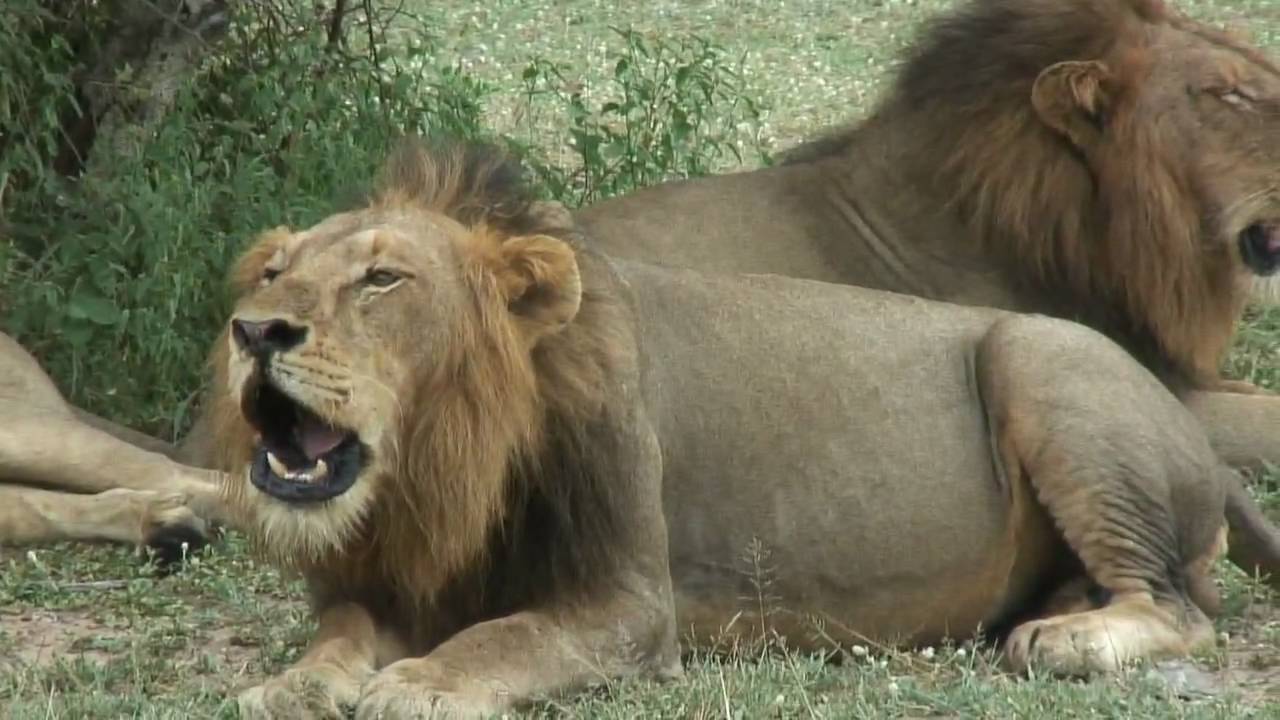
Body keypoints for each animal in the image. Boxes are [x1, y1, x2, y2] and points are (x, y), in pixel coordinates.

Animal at [212, 138, 1275, 719]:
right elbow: (339, 635)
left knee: (1183, 607)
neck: (443, 469)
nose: (255, 332)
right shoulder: (381, 578)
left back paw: (1068, 640)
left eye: (382, 279)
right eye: (275, 273)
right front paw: (294, 685)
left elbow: (505, 636)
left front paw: (423, 681)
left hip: (1040, 357)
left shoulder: (630, 604)